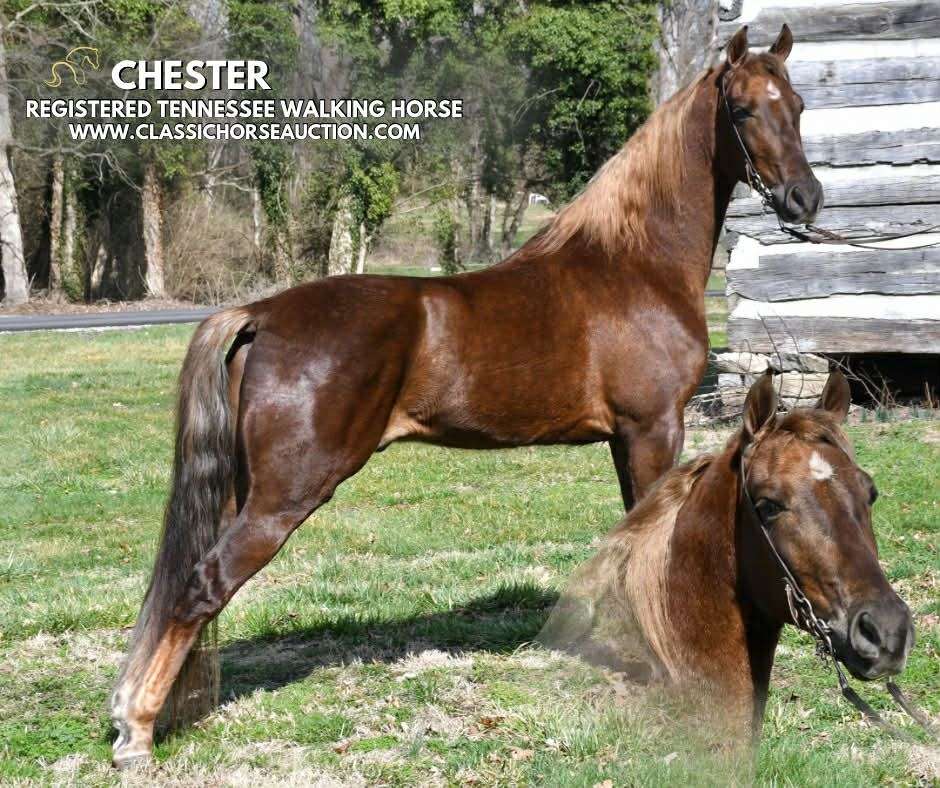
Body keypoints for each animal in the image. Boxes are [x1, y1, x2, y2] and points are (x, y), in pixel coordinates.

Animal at [111, 24, 824, 766]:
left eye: (799, 105)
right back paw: (136, 733)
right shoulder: (651, 429)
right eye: (742, 109)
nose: (804, 199)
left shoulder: (627, 439)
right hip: (285, 495)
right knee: (203, 586)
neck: (633, 264)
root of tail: (262, 312)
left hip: (241, 490)